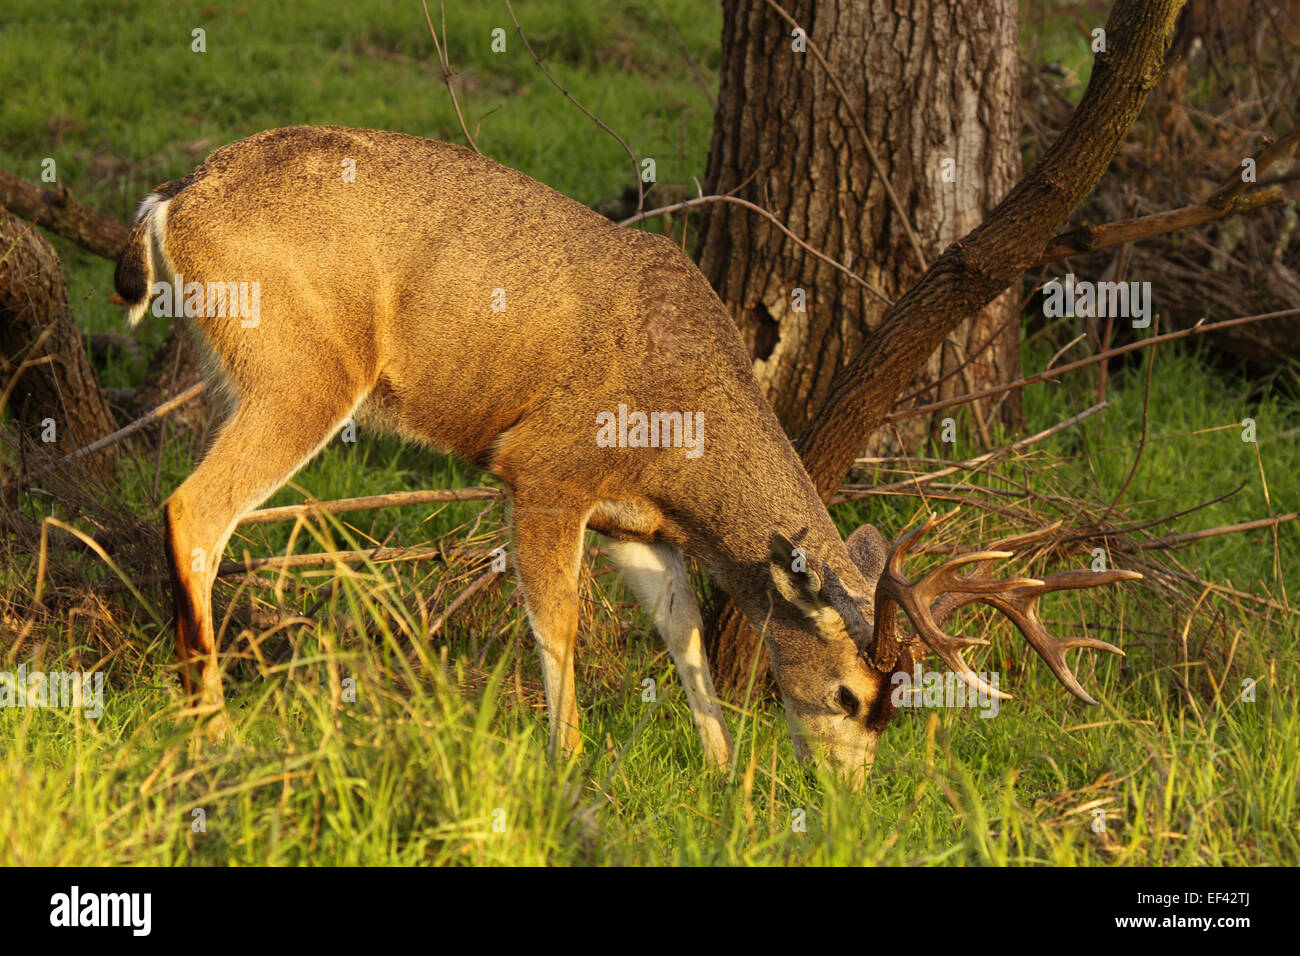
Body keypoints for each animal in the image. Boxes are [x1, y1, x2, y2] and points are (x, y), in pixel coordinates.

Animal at [114, 125, 1141, 788]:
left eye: (894, 708)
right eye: (852, 698)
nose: (850, 801)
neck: (683, 436)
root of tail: (173, 200)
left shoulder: (636, 522)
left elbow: (680, 630)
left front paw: (724, 776)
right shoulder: (545, 469)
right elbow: (557, 623)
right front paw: (569, 765)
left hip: (228, 368)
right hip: (308, 371)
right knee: (193, 510)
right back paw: (211, 725)